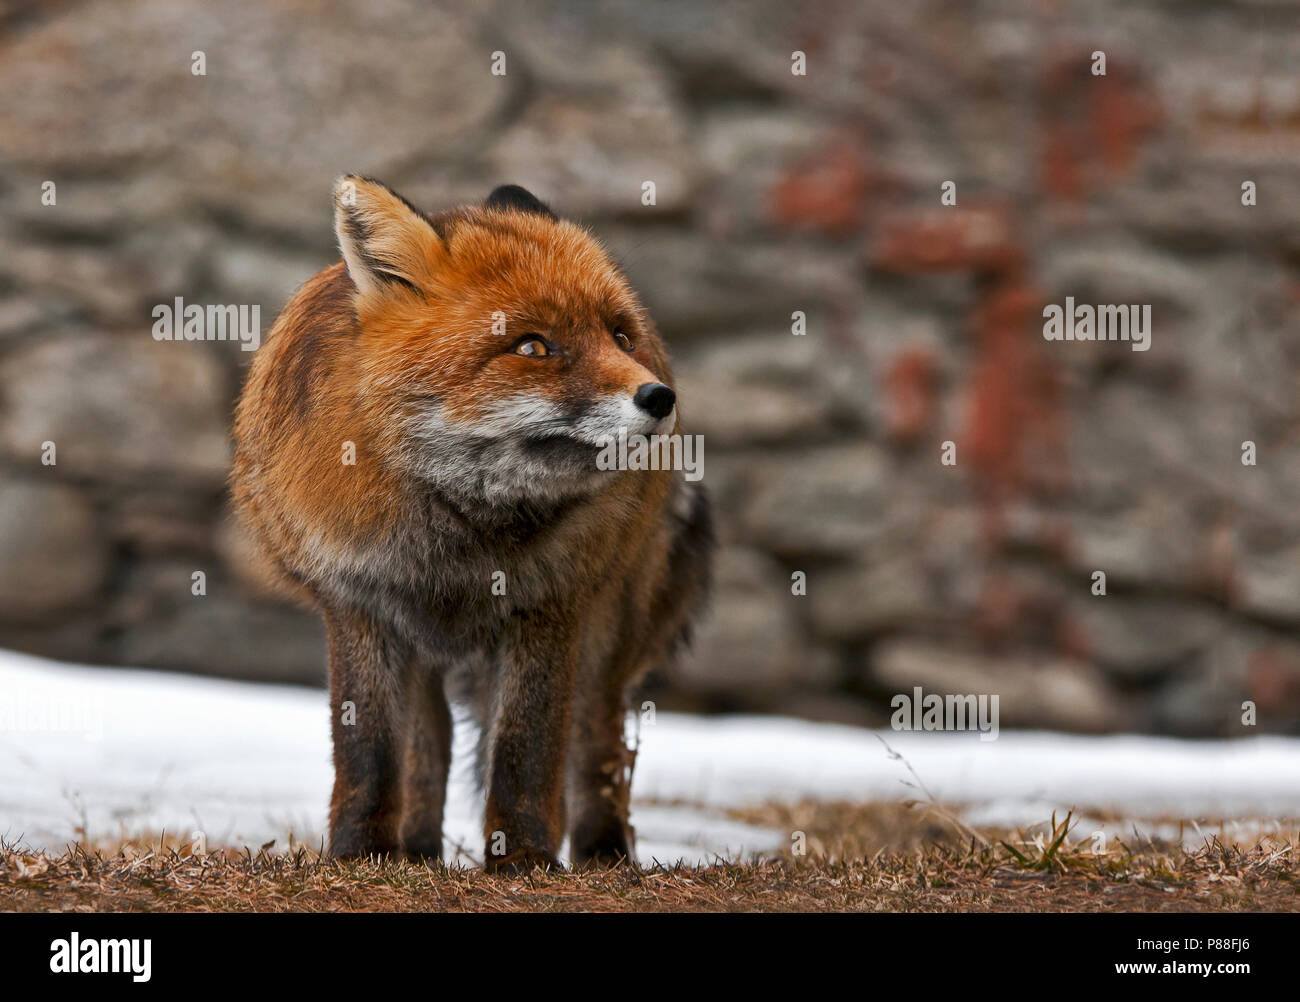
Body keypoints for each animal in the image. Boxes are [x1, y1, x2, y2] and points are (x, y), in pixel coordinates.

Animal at [231, 176, 712, 872]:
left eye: (621, 337)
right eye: (532, 346)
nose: (660, 397)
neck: (460, 533)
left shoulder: (551, 607)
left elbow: (524, 750)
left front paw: (525, 861)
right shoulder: (358, 606)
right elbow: (370, 755)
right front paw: (359, 856)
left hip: (608, 637)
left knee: (597, 745)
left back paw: (605, 857)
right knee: (427, 752)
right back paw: (415, 852)